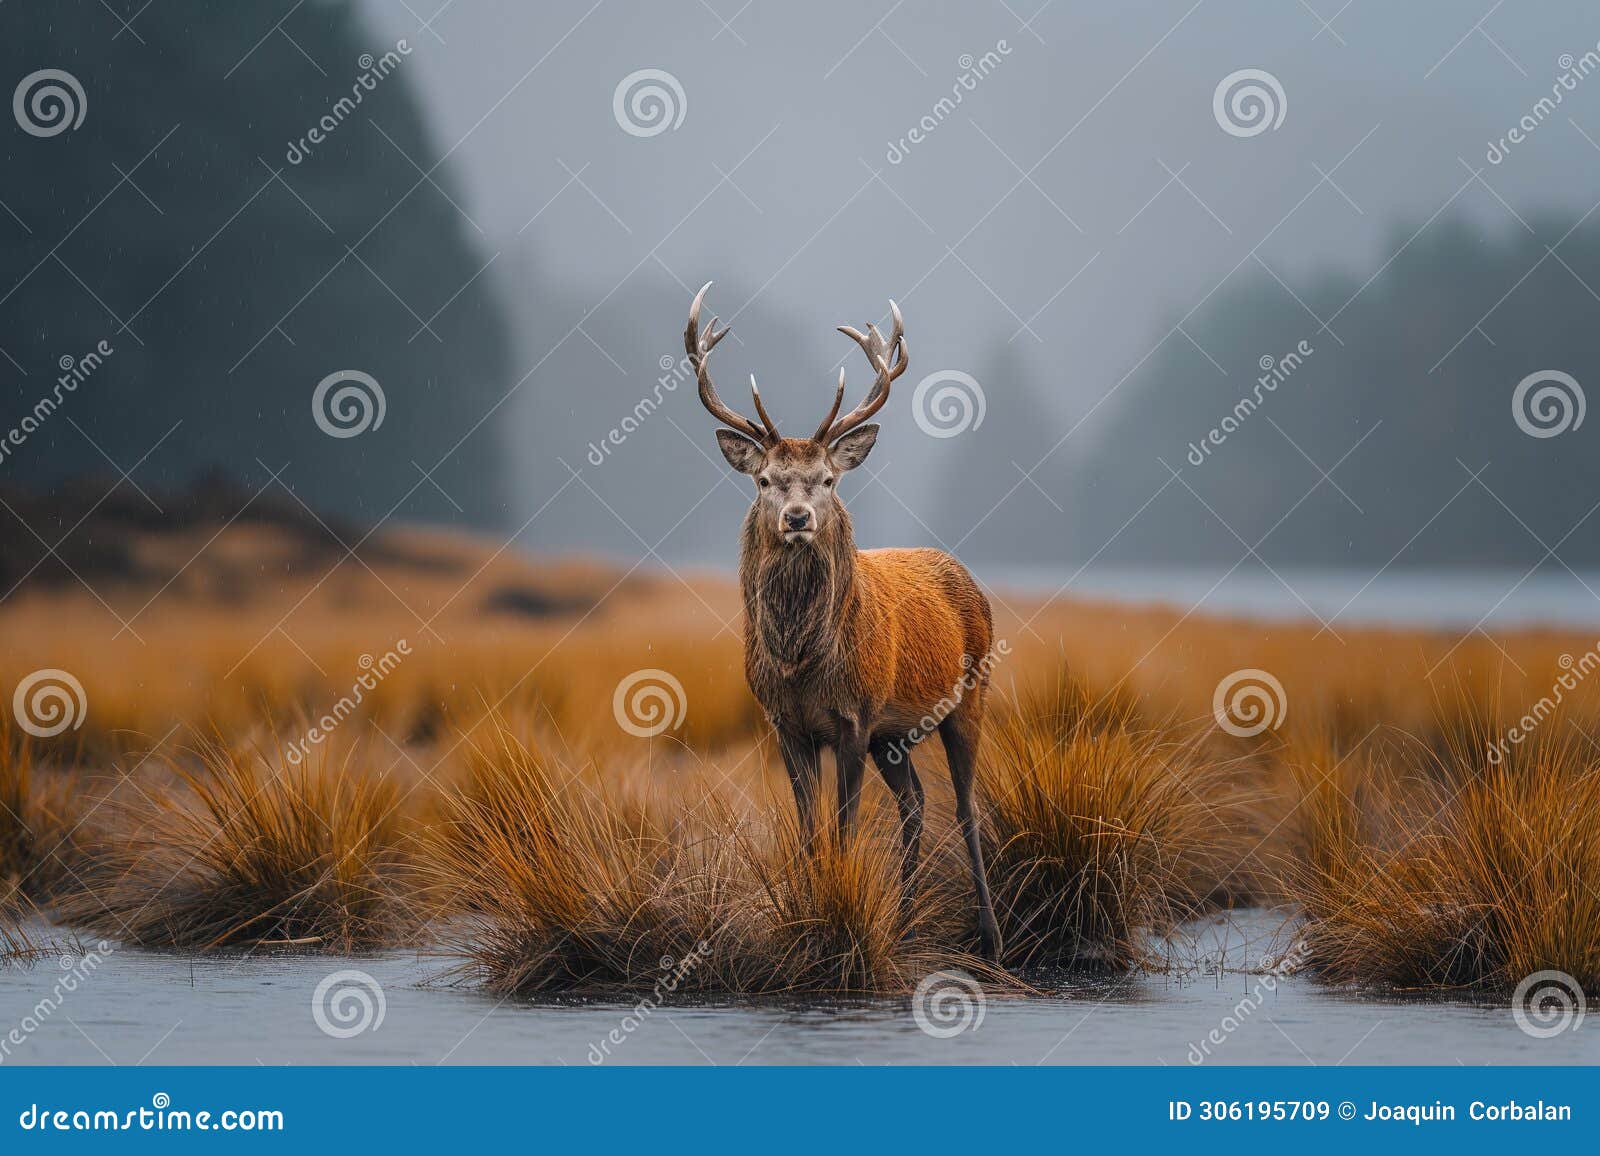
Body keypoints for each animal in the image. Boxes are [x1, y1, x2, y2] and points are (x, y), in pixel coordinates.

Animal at [686, 282, 1002, 962]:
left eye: (828, 479)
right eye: (766, 479)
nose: (799, 517)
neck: (805, 665)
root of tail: (968, 576)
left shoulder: (856, 717)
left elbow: (845, 827)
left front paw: (838, 915)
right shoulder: (787, 725)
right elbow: (810, 831)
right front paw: (810, 913)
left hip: (968, 698)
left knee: (966, 807)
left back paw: (990, 937)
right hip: (896, 733)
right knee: (915, 804)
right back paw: (904, 923)